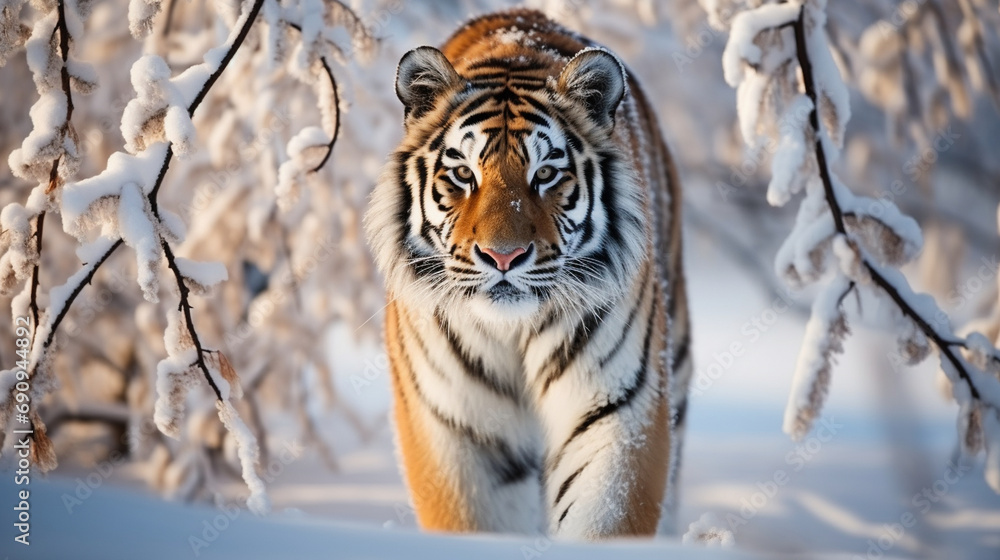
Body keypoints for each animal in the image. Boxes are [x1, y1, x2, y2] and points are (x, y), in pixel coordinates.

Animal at [364, 9, 691, 540]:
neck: (513, 331)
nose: (504, 256)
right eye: (464, 174)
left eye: (546, 174)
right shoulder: (455, 429)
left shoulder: (618, 413)